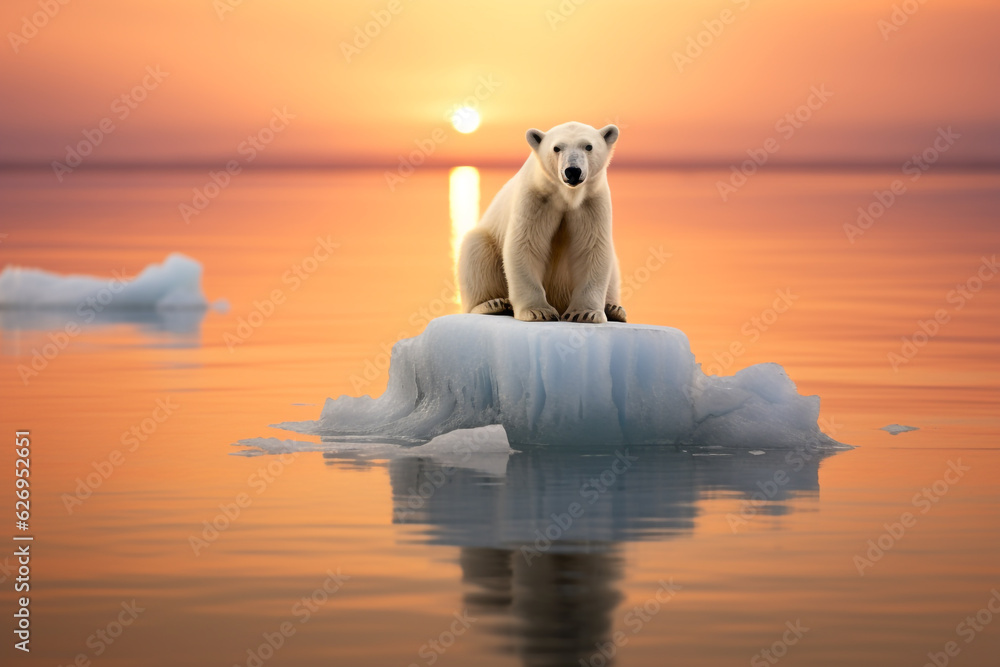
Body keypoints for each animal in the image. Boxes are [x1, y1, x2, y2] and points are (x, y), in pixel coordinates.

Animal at [458, 121, 626, 323]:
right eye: (557, 148)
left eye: (588, 146)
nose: (572, 171)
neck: (566, 196)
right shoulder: (535, 199)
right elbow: (526, 244)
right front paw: (538, 311)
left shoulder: (591, 202)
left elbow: (592, 248)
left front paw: (585, 313)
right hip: (486, 240)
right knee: (476, 251)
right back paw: (493, 304)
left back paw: (614, 308)